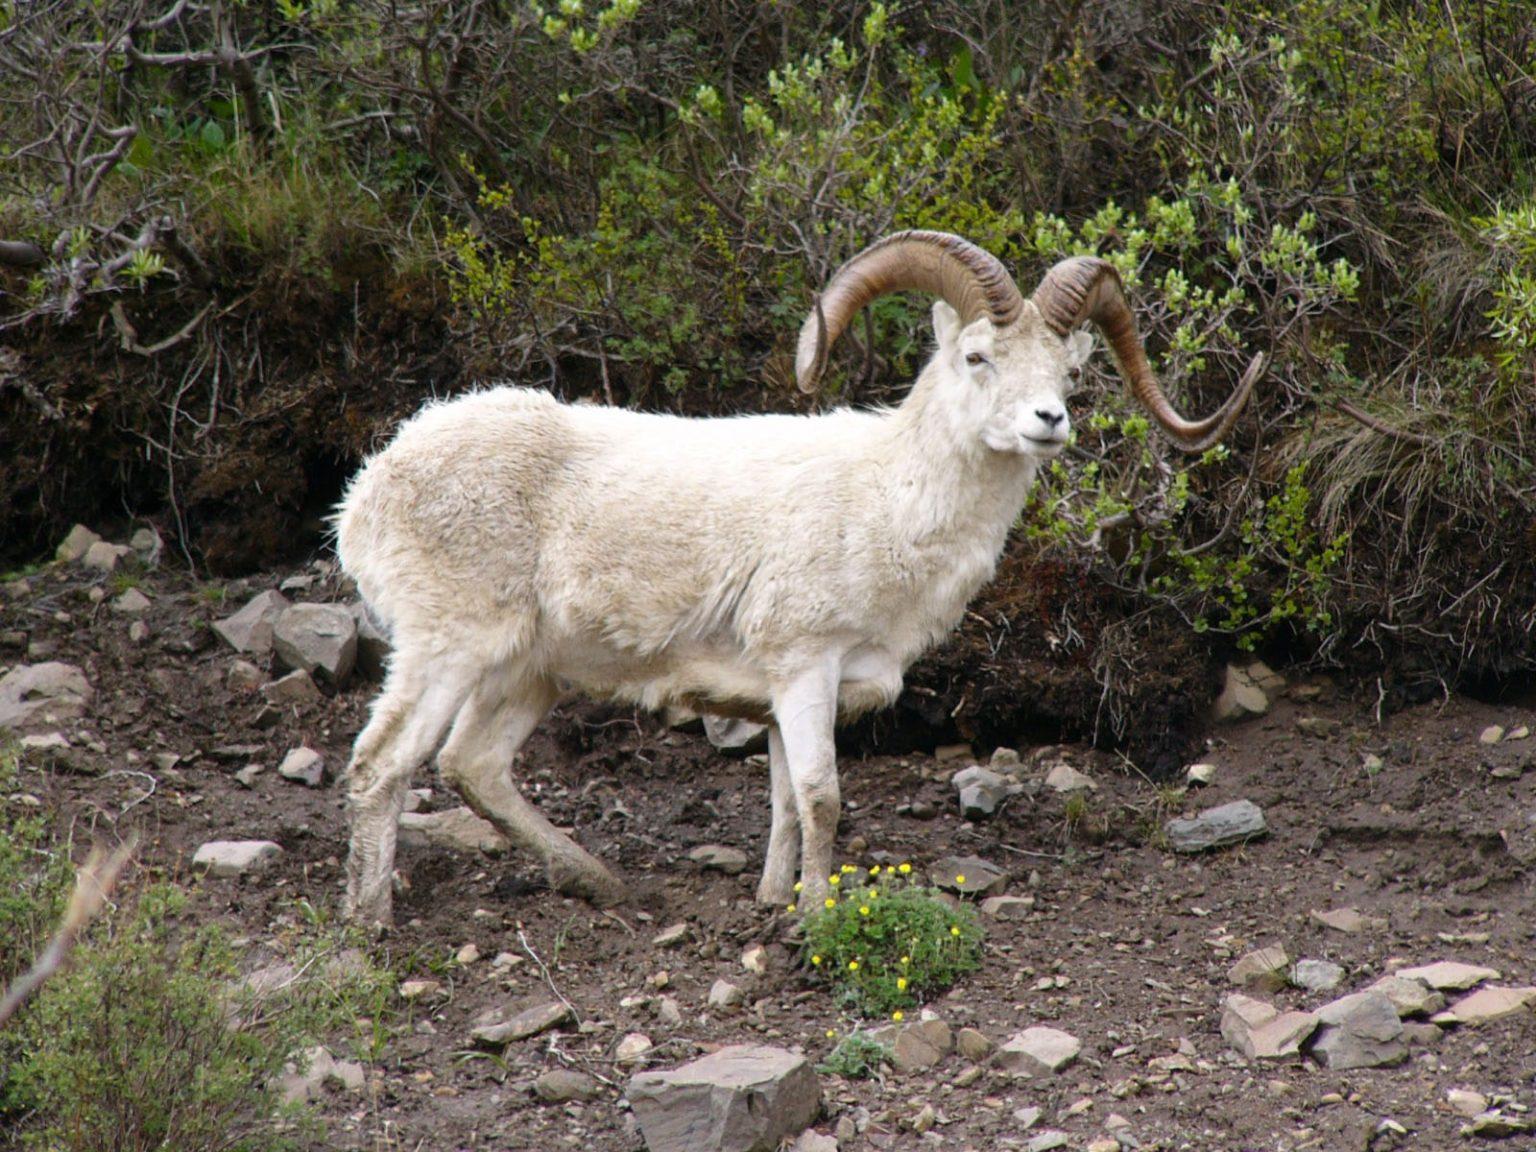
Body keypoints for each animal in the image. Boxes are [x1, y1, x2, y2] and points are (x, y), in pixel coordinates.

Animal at [336, 230, 1262, 925]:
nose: (1049, 421)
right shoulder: (806, 668)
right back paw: (370, 923)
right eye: (977, 356)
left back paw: (605, 884)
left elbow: (784, 803)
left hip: (528, 673)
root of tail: (370, 491)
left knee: (474, 766)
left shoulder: (782, 697)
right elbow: (823, 799)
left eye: (1069, 371)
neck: (886, 503)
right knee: (381, 765)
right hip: (448, 649)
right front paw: (818, 915)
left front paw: (774, 898)